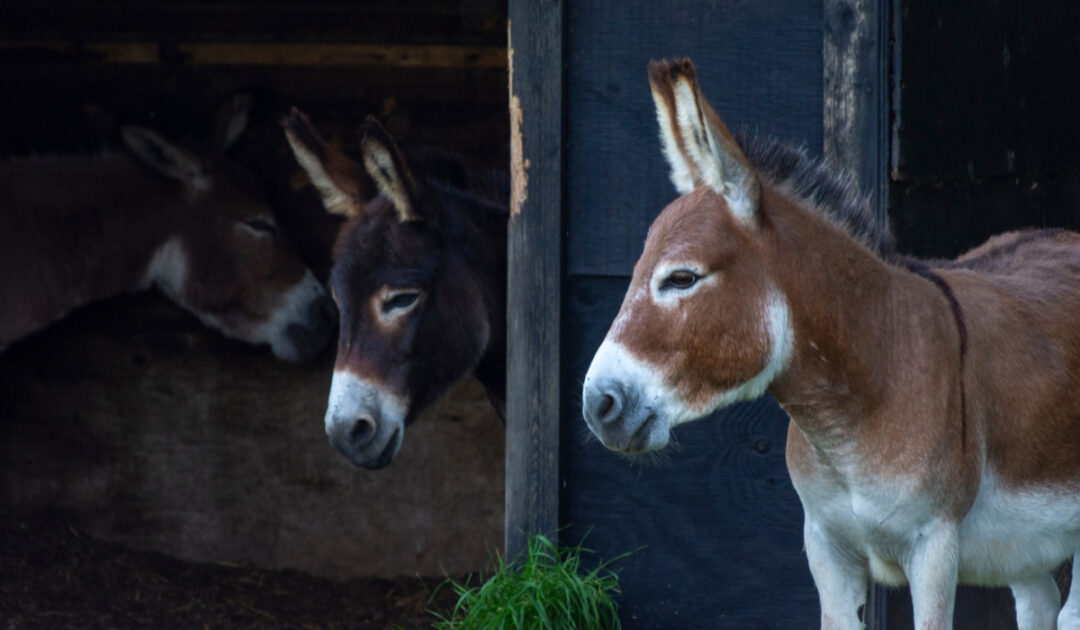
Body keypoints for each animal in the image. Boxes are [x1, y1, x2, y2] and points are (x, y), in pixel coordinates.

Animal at [581, 58, 1080, 630]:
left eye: (682, 278)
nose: (596, 405)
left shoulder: (934, 546)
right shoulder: (825, 543)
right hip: (1020, 546)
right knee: (1041, 603)